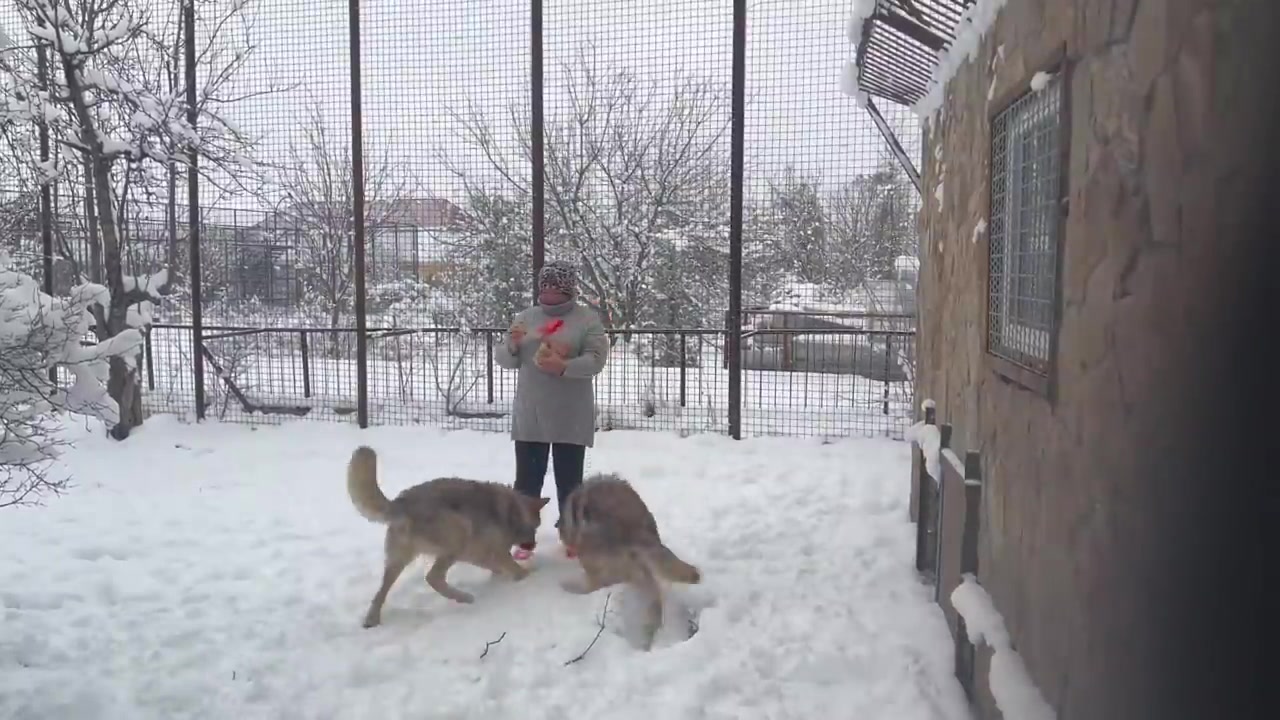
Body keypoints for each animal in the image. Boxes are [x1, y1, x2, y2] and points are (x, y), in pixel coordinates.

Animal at [348, 445, 547, 625]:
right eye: (536, 527)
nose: (533, 545)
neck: (513, 511)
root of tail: (401, 503)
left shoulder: (479, 555)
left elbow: (497, 568)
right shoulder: (495, 552)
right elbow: (516, 569)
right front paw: (530, 577)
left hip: (398, 561)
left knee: (381, 592)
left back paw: (371, 620)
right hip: (459, 533)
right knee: (432, 577)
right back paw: (465, 598)